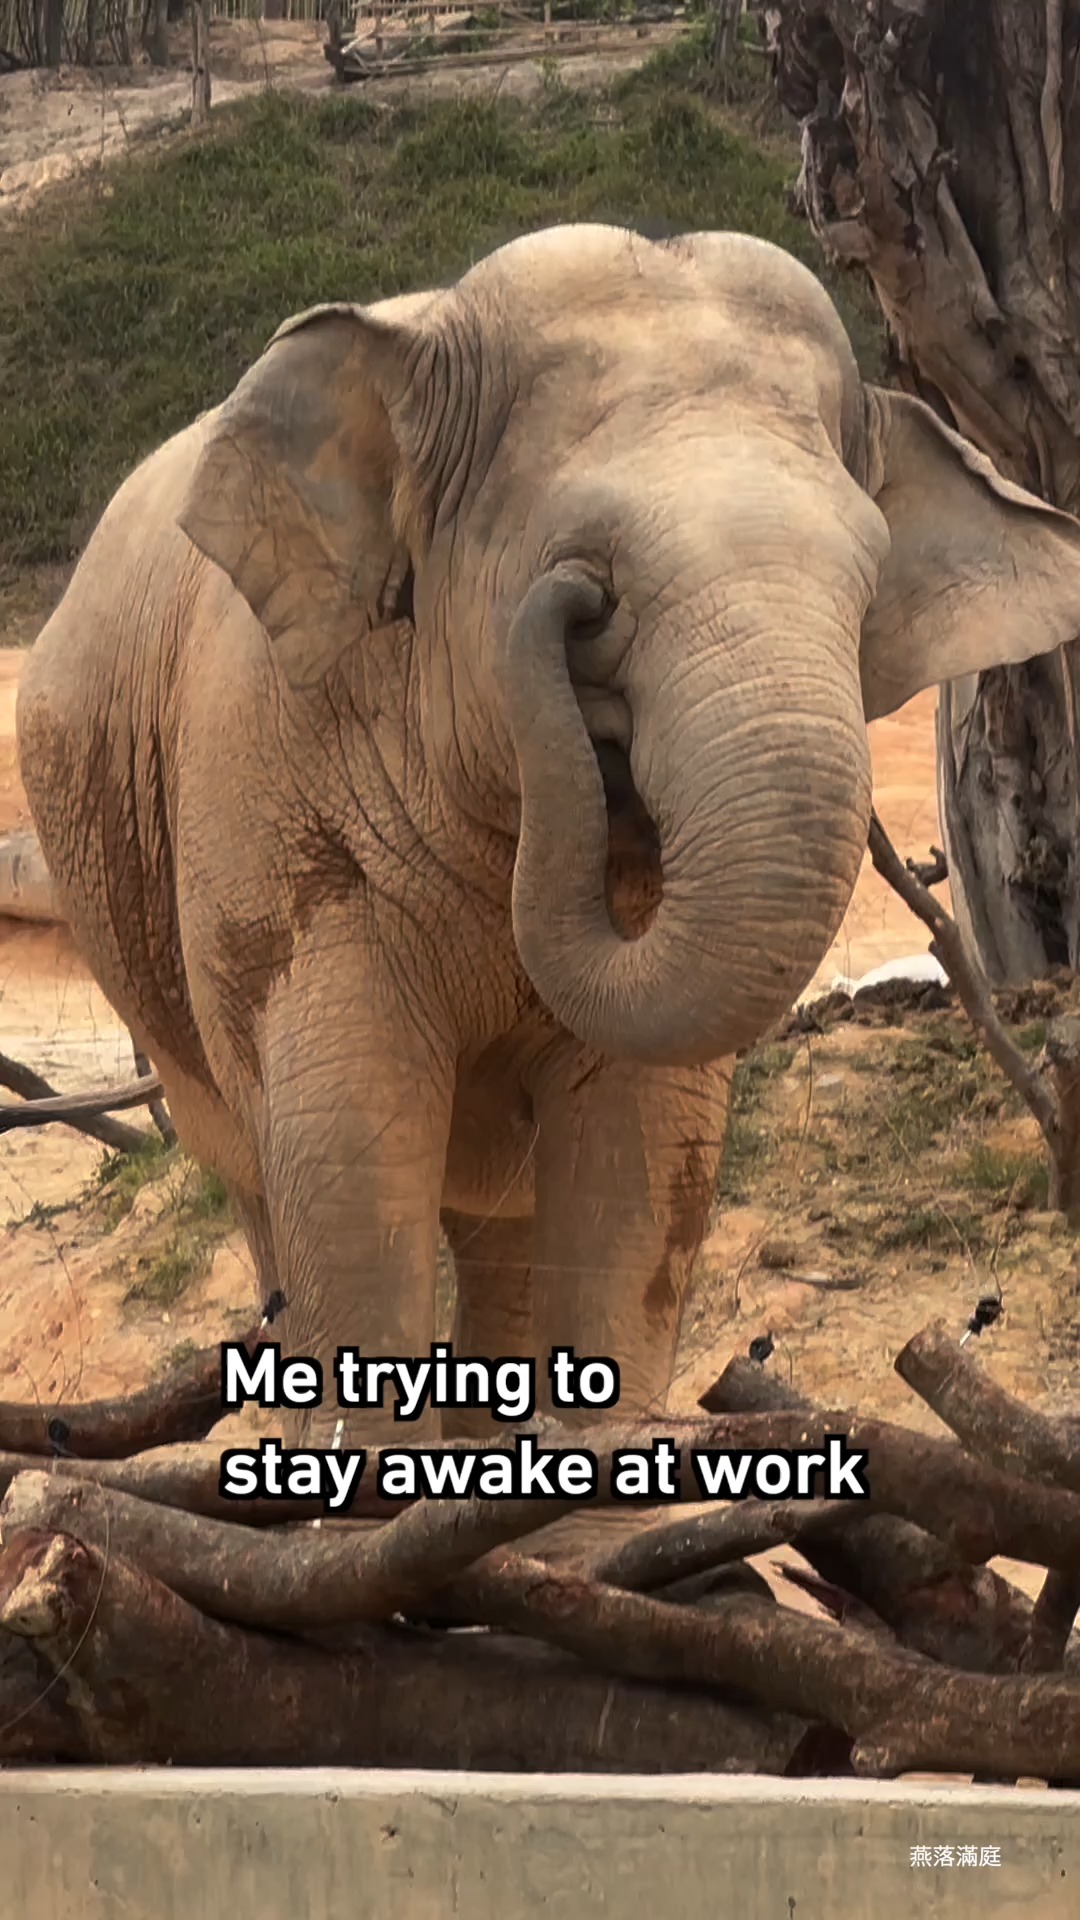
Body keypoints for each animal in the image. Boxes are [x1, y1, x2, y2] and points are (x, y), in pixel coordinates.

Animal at [18, 222, 1080, 1456]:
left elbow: (645, 1154)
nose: (564, 605)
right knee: (262, 1182)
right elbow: (347, 1144)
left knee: (505, 1228)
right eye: (591, 571)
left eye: (868, 586)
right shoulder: (265, 790)